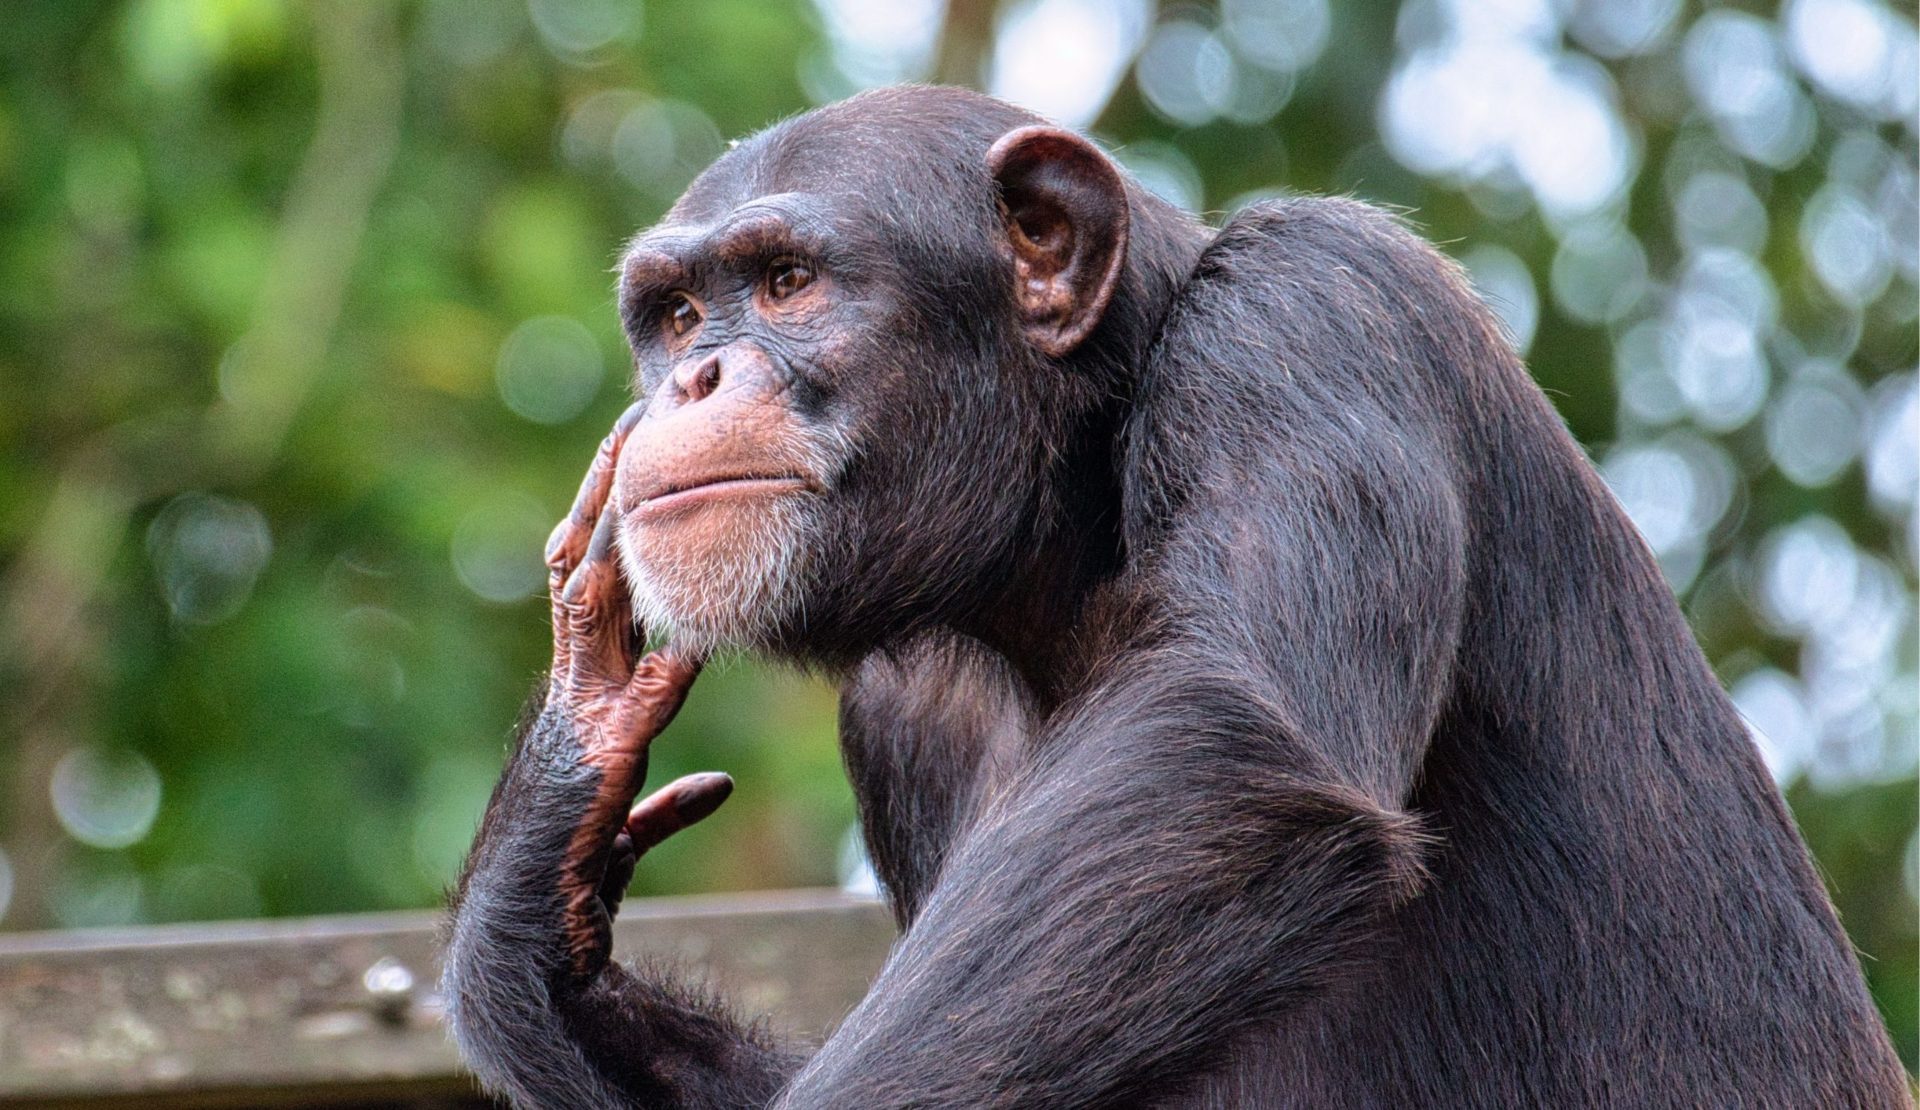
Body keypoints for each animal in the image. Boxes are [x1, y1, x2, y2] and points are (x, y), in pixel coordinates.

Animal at [442, 86, 1908, 1108]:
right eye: (681, 313)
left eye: (788, 281)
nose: (692, 377)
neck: (1067, 532)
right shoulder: (900, 712)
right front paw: (552, 848)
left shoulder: (1311, 314)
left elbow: (1226, 756)